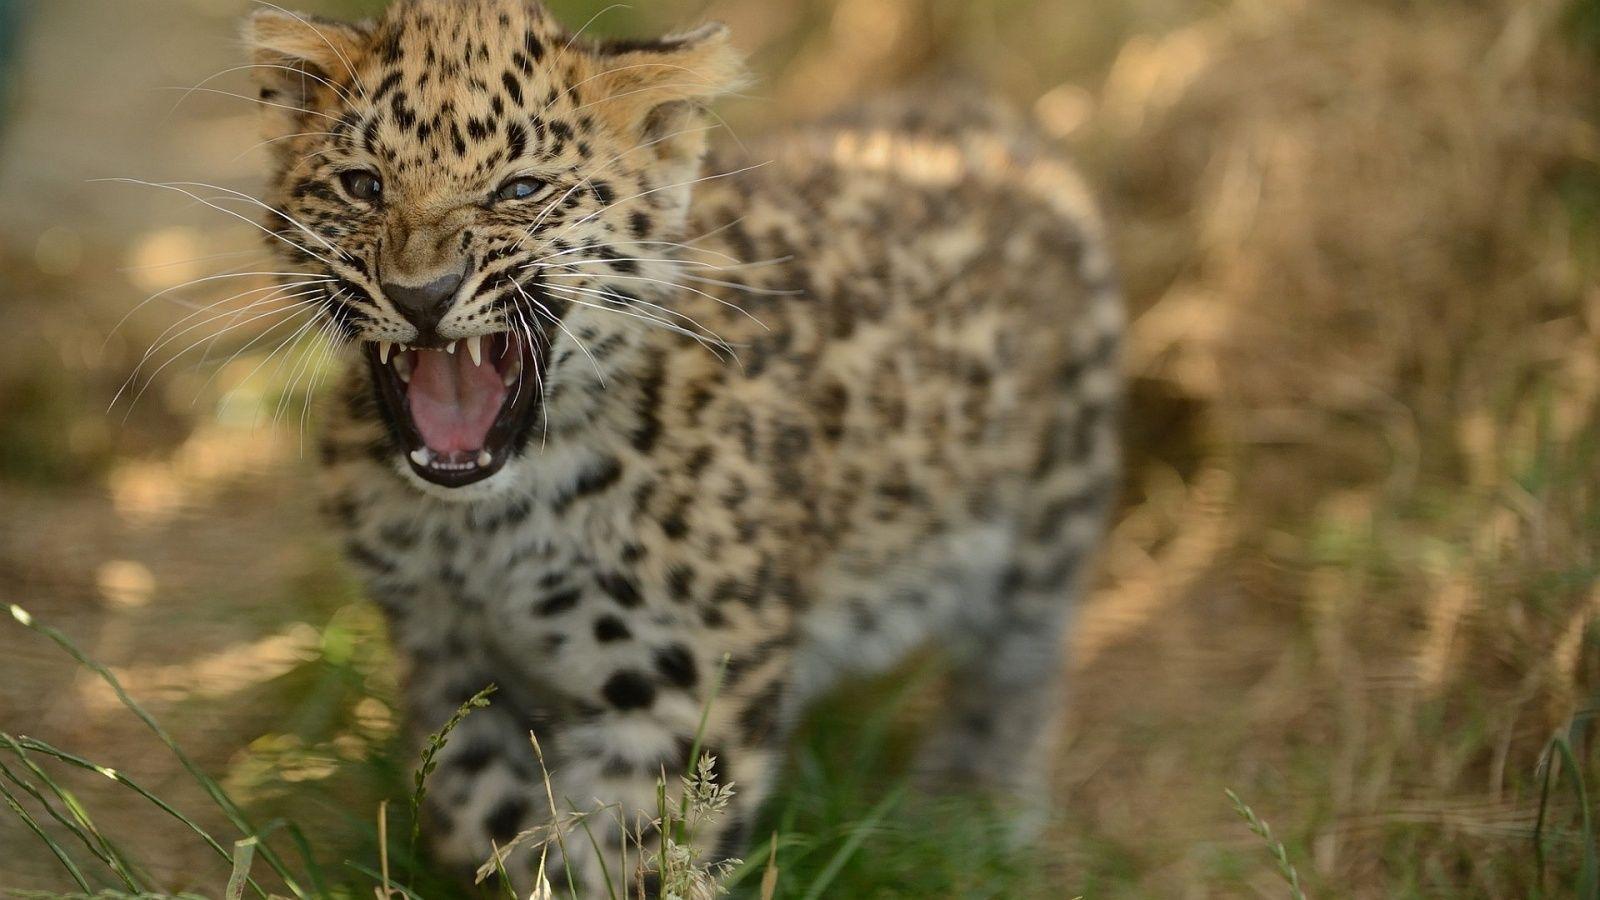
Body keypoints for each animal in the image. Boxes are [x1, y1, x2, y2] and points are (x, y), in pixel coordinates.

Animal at [239, 0, 1121, 893]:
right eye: (363, 186)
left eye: (519, 191)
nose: (421, 296)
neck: (488, 520)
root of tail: (991, 120)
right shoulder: (443, 651)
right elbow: (471, 808)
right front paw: (522, 853)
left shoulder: (687, 682)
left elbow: (646, 851)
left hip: (1053, 502)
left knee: (1020, 658)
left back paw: (975, 800)